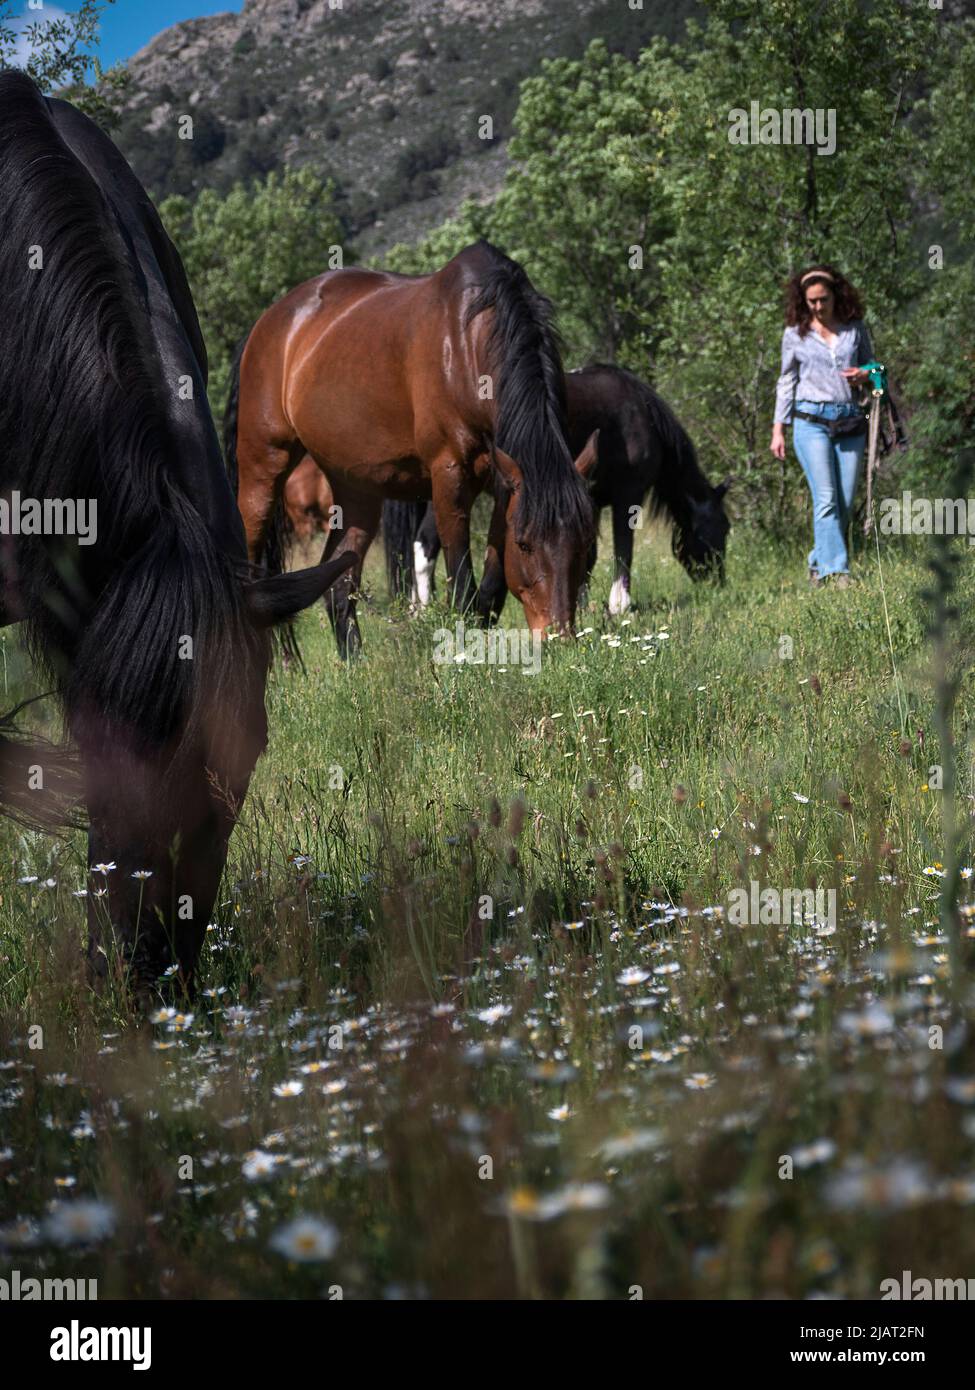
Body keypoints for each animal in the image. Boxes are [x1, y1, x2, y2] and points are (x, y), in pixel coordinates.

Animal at [224, 240, 599, 658]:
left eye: (585, 542)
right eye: (525, 545)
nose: (559, 638)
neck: (469, 341)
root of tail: (268, 324)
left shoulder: (506, 483)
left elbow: (491, 590)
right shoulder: (450, 476)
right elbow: (463, 583)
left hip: (355, 489)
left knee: (338, 581)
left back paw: (357, 664)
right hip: (264, 466)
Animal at [384, 364, 730, 617]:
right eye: (722, 529)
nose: (719, 583)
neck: (639, 414)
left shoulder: (588, 501)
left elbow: (587, 554)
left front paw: (581, 602)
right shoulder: (627, 497)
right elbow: (623, 550)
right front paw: (620, 606)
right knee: (426, 544)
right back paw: (426, 607)